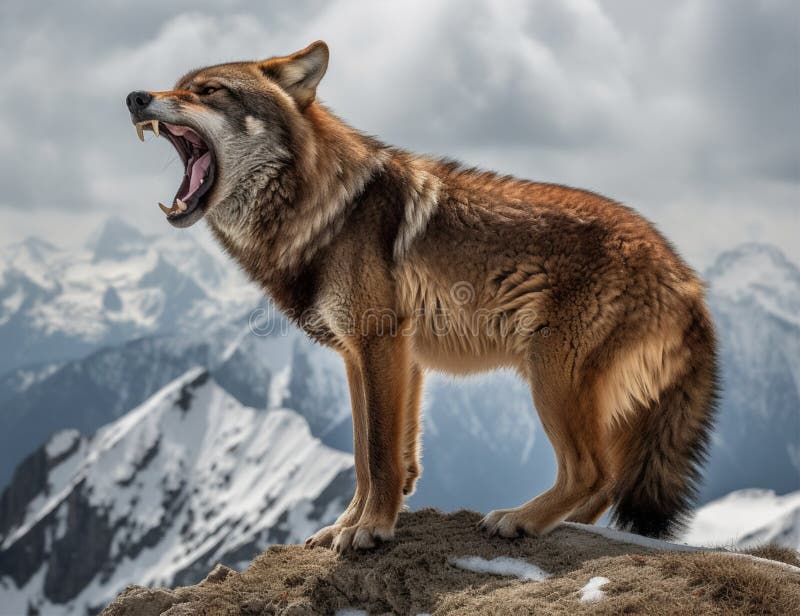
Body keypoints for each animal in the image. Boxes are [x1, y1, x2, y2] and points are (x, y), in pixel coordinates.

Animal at [126, 41, 718, 552]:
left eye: (208, 91)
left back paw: (519, 520)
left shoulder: (380, 344)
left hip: (550, 374)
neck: (322, 209)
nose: (134, 98)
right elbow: (368, 457)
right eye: (177, 85)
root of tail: (689, 280)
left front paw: (370, 531)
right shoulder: (373, 358)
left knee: (594, 473)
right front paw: (346, 525)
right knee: (603, 483)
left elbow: (380, 456)